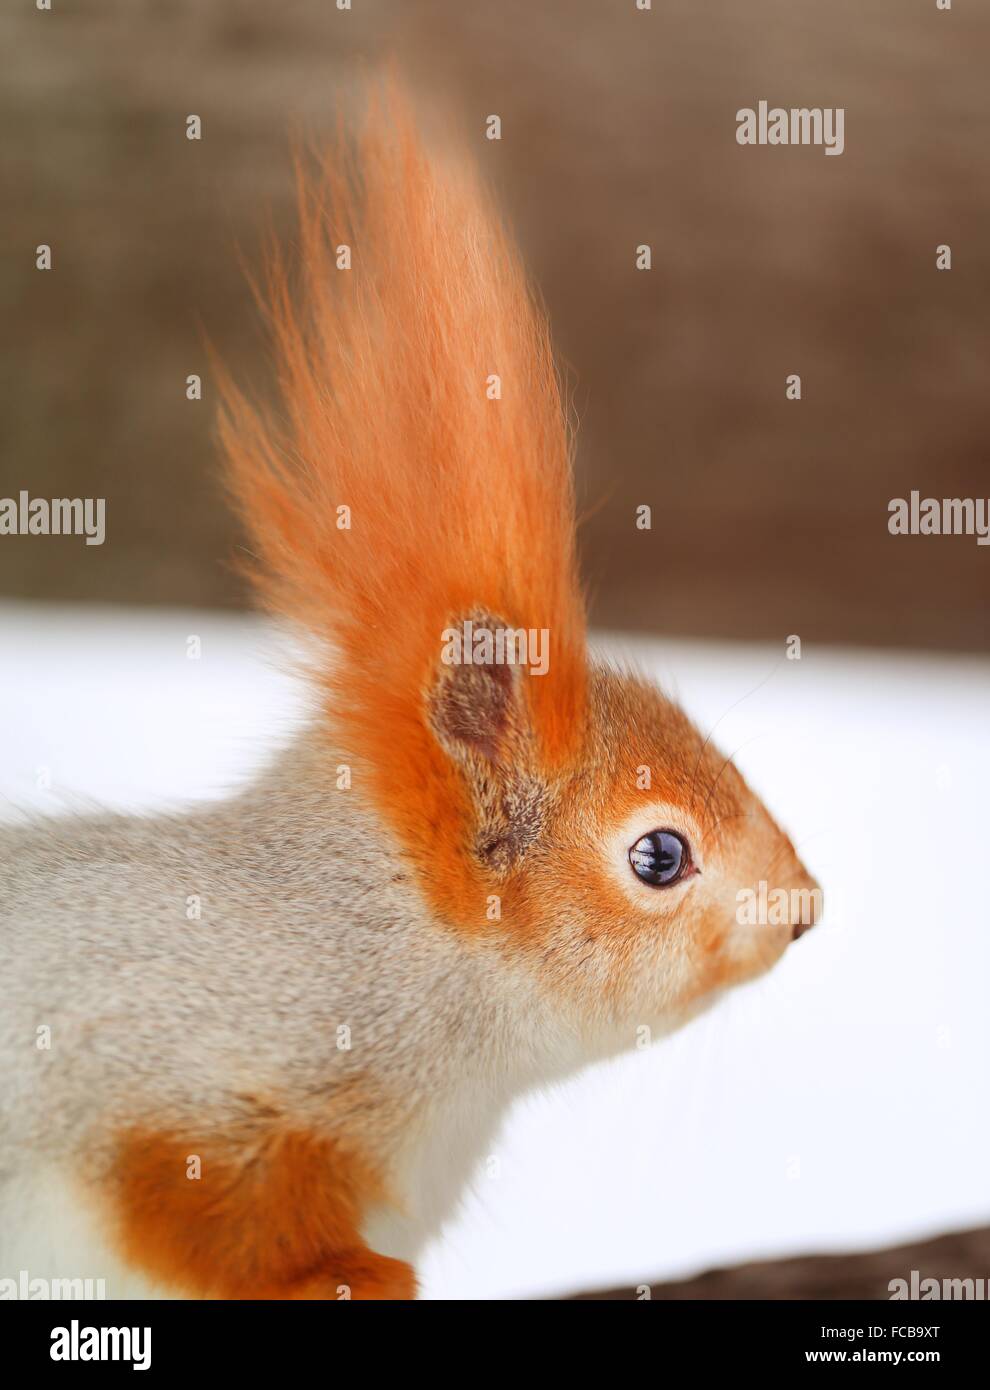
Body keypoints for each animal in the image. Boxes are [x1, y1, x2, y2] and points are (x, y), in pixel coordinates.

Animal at [0, 83, 820, 1301]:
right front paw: (345, 1275)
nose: (807, 907)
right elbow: (195, 1207)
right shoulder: (149, 1062)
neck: (389, 945)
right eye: (661, 855)